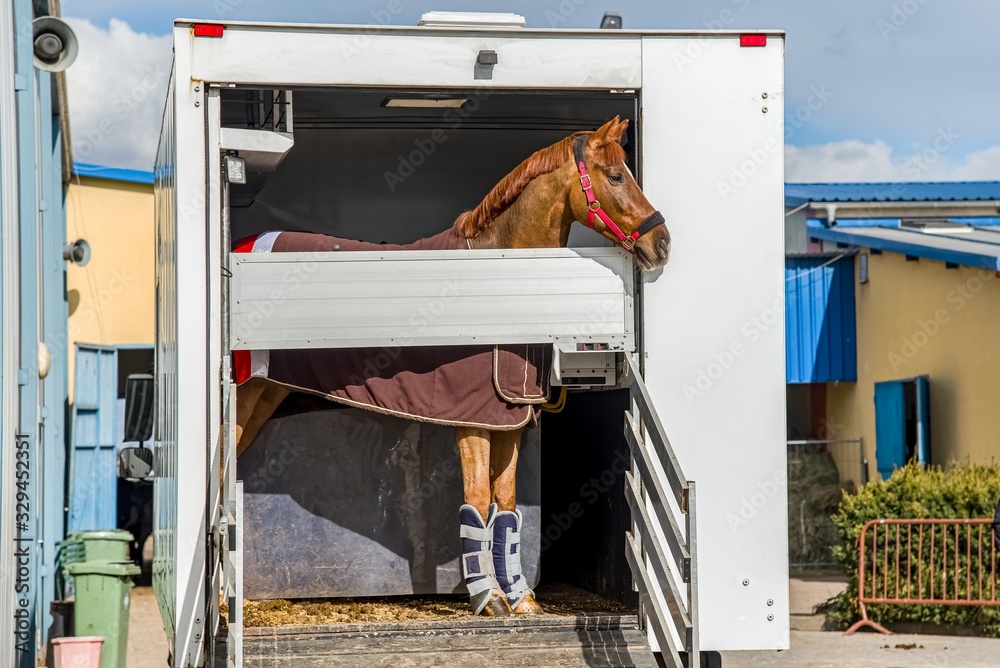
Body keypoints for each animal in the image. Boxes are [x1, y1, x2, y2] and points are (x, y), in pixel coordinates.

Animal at [232, 116, 670, 617]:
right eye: (616, 177)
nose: (662, 243)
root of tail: (248, 244)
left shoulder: (509, 420)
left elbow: (506, 505)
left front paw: (520, 597)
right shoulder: (473, 420)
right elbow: (476, 502)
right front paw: (488, 597)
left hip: (267, 392)